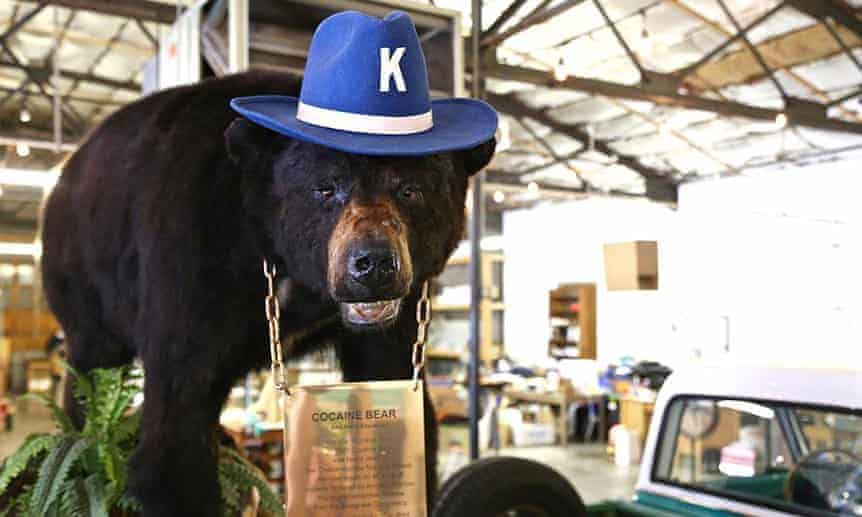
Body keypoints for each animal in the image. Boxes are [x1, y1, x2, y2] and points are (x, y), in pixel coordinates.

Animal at [41, 69, 495, 517]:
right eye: (325, 188)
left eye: (410, 189)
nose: (373, 264)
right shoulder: (192, 252)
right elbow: (178, 407)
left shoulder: (400, 314)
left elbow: (393, 386)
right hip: (82, 278)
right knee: (92, 366)